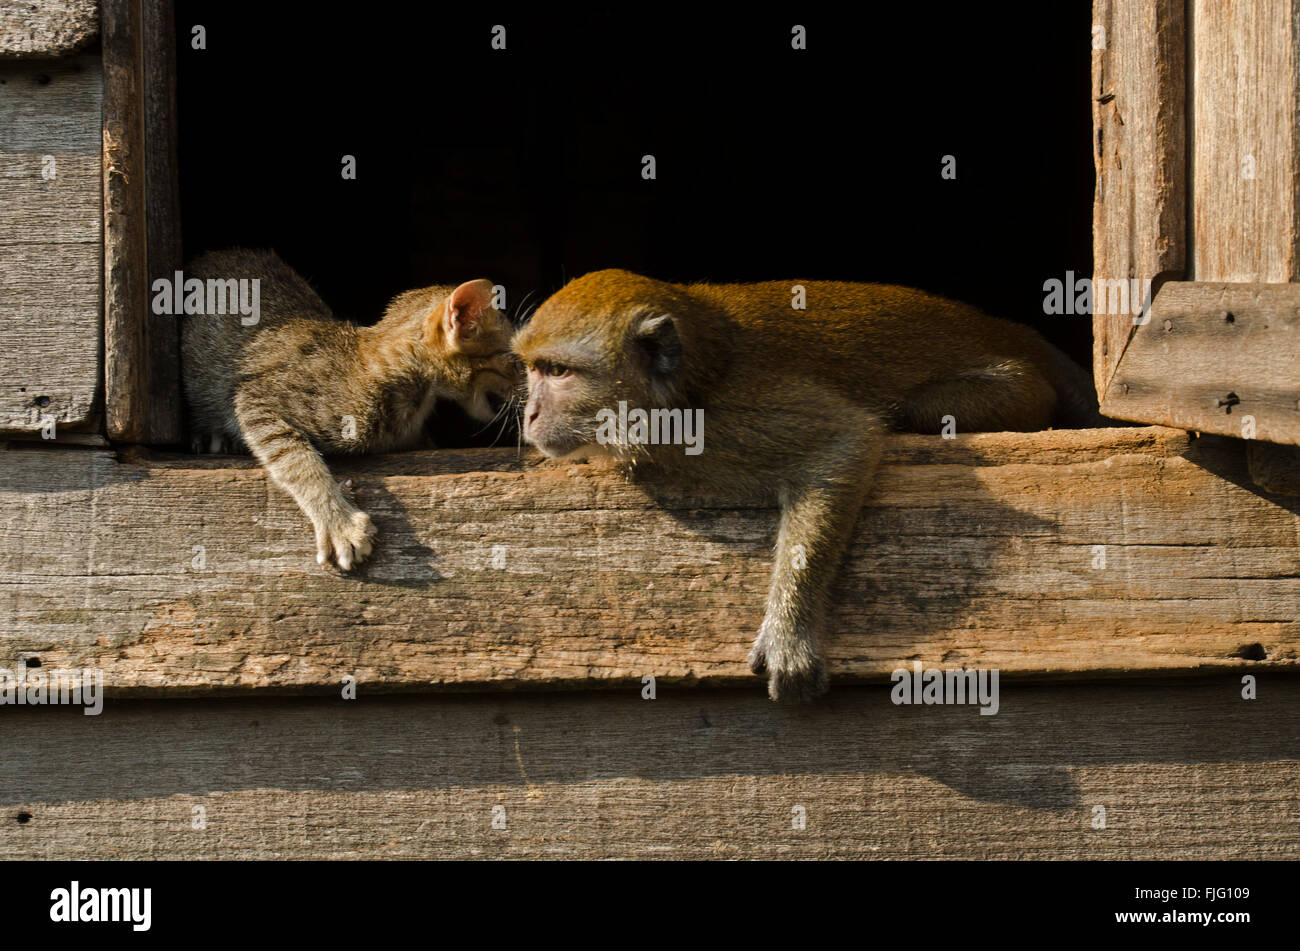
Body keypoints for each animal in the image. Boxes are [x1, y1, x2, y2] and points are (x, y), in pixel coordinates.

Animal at [513, 270, 1104, 701]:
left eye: (559, 372)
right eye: (532, 369)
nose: (530, 415)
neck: (697, 376)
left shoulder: (731, 415)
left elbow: (843, 442)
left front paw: (789, 632)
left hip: (1016, 392)